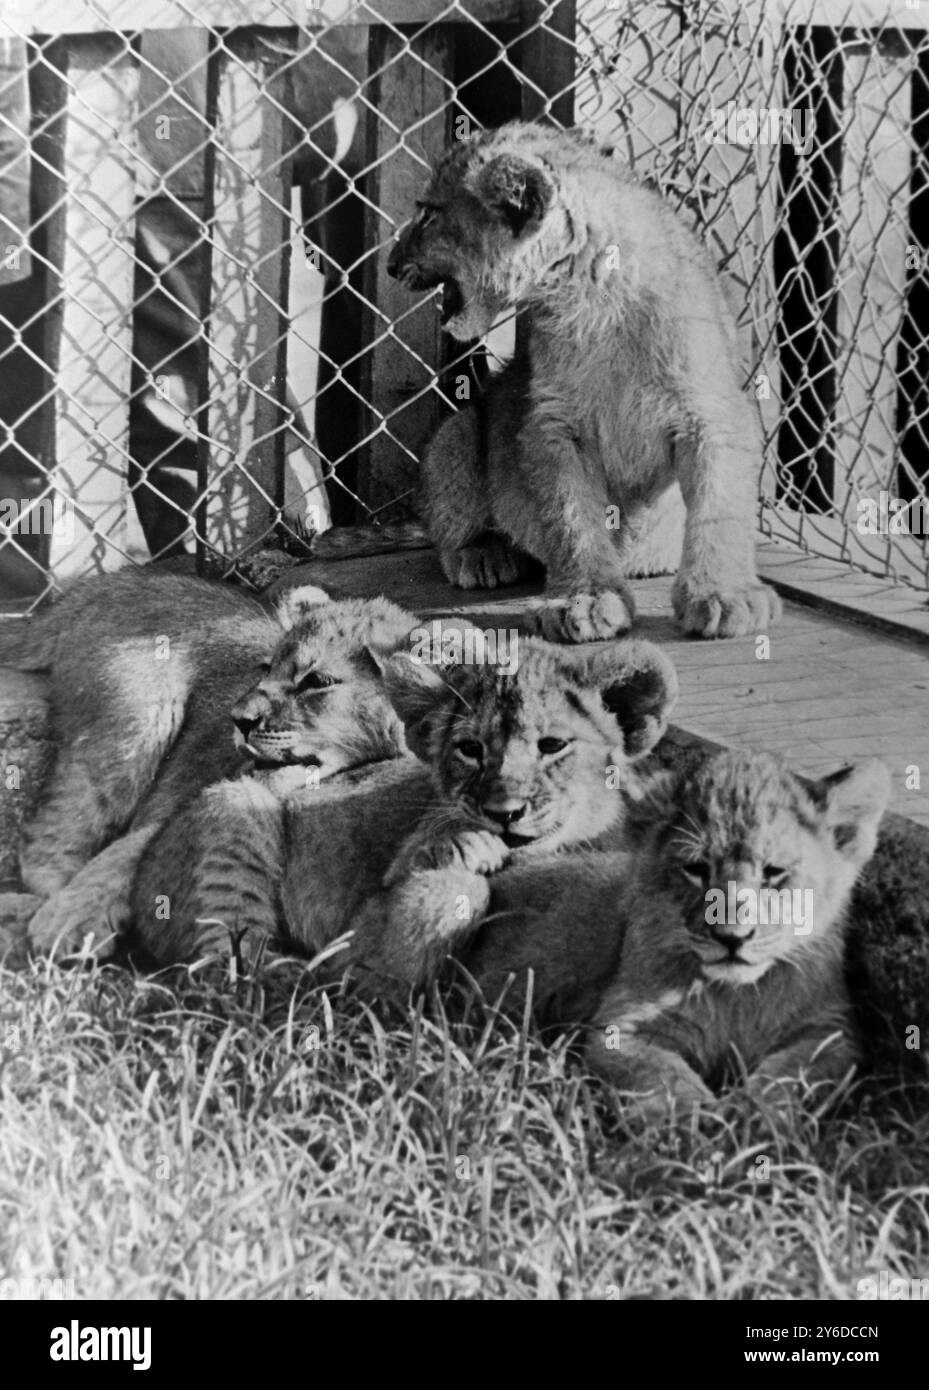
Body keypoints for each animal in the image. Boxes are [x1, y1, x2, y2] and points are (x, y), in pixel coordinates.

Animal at [387, 122, 782, 642]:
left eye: (429, 215)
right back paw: (483, 553)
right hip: (460, 430)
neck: (591, 294)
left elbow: (720, 512)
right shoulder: (553, 424)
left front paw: (724, 595)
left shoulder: (712, 414)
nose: (390, 265)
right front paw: (585, 599)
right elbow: (571, 520)